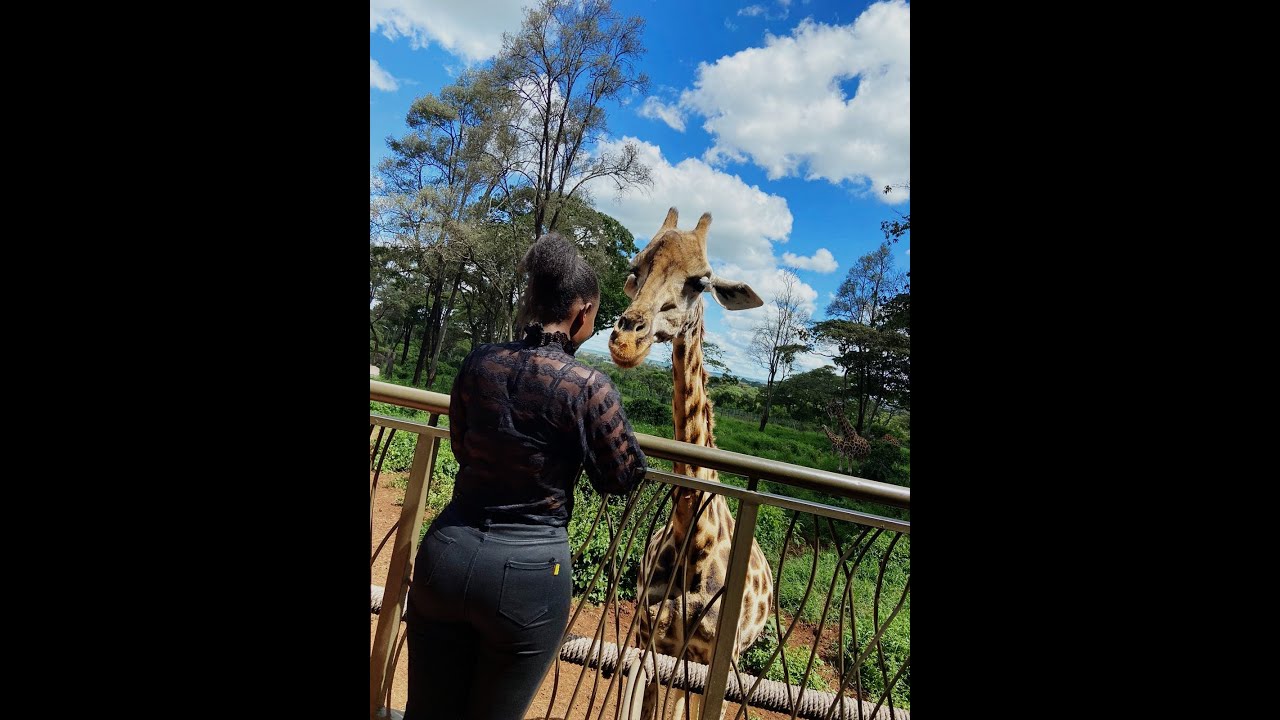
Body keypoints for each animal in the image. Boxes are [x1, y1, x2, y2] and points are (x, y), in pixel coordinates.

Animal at [608, 208, 774, 719]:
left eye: (700, 281)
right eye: (635, 268)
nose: (626, 340)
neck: (694, 539)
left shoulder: (717, 656)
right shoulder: (648, 634)